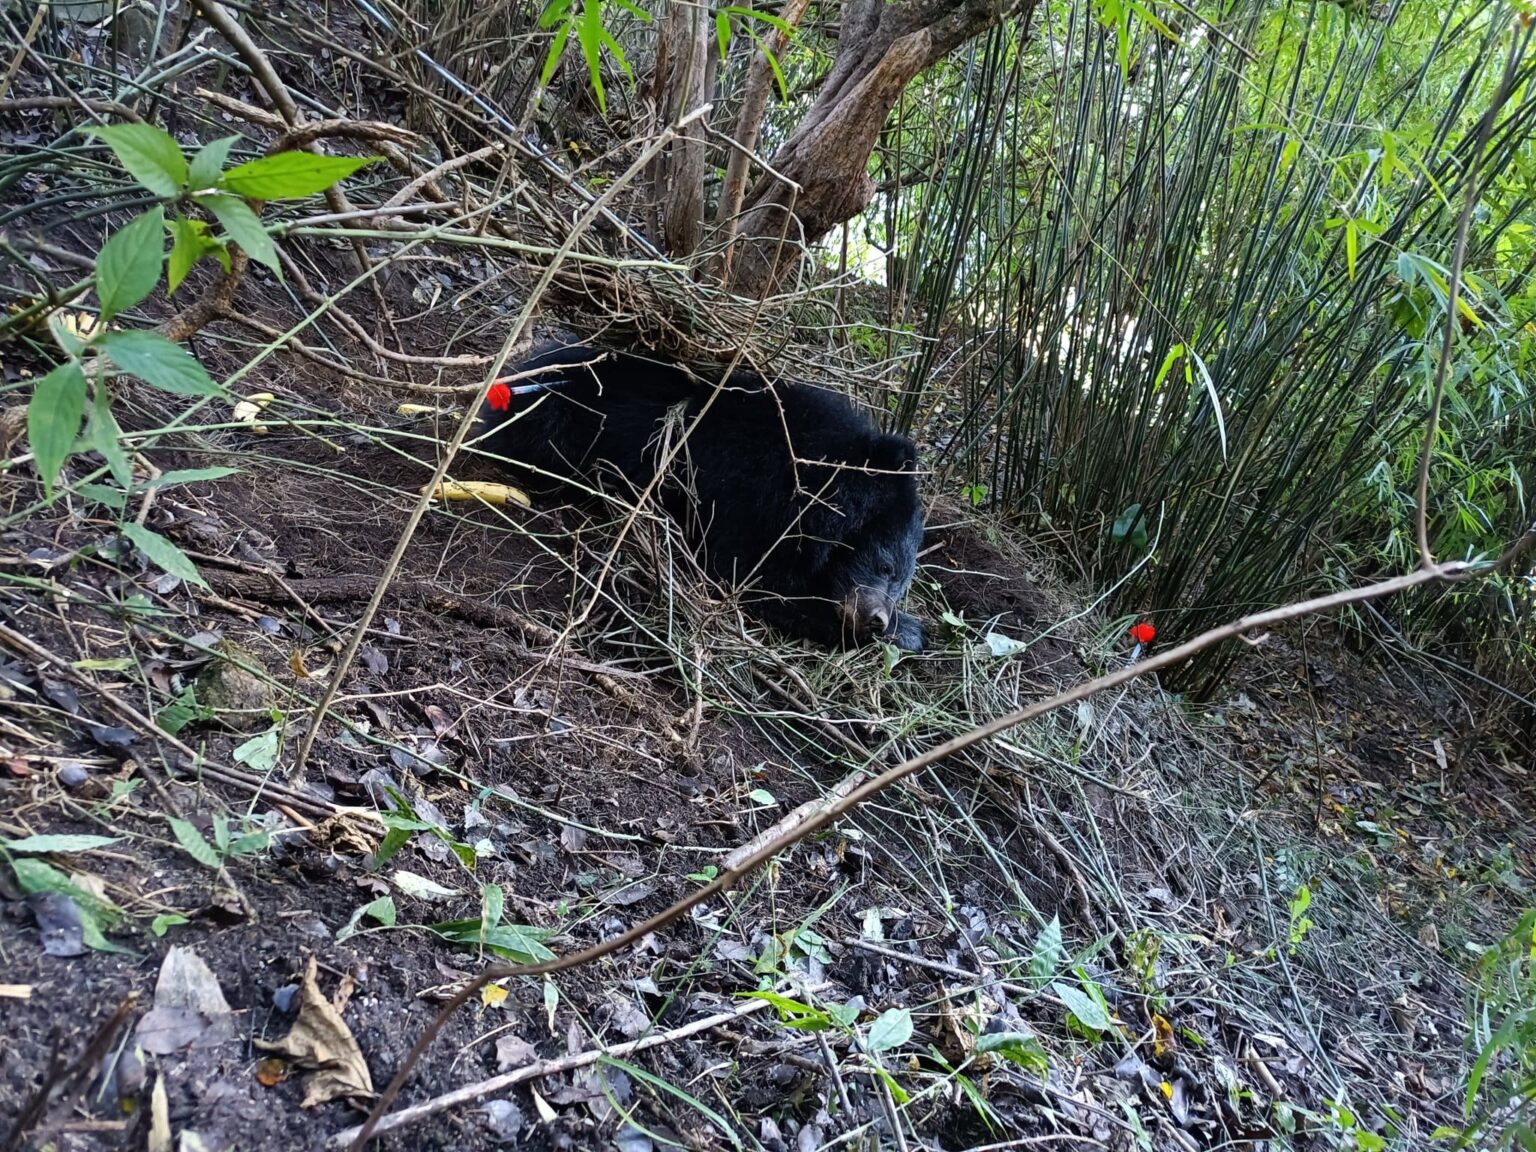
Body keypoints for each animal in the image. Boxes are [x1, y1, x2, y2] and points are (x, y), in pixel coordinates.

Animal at [471, 340, 926, 652]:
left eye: (901, 582)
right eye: (884, 565)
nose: (877, 619)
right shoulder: (748, 494)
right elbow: (759, 581)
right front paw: (908, 632)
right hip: (560, 422)